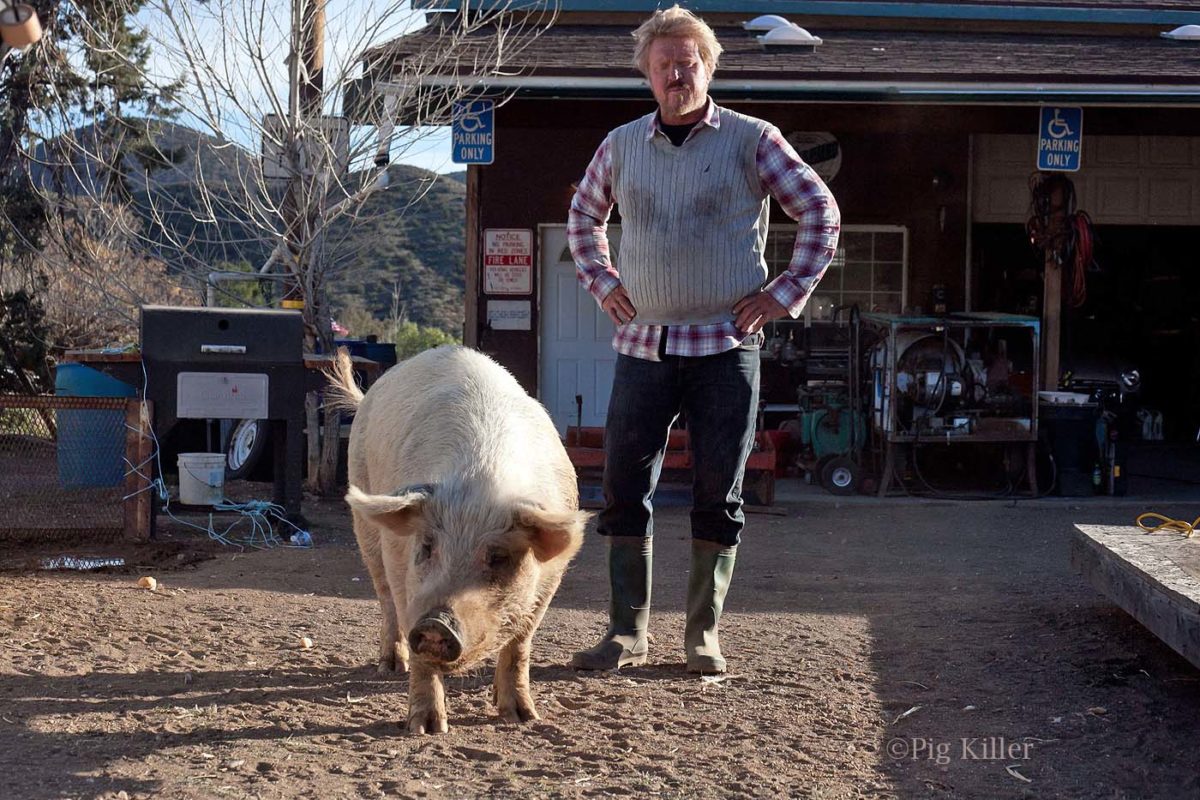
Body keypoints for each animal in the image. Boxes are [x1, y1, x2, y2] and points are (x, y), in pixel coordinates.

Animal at [326, 345, 588, 734]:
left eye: (498, 556)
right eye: (427, 547)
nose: (436, 624)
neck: (479, 484)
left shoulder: (551, 576)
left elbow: (519, 646)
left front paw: (523, 718)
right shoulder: (402, 563)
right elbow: (413, 633)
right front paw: (427, 729)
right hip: (367, 526)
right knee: (386, 600)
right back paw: (391, 667)